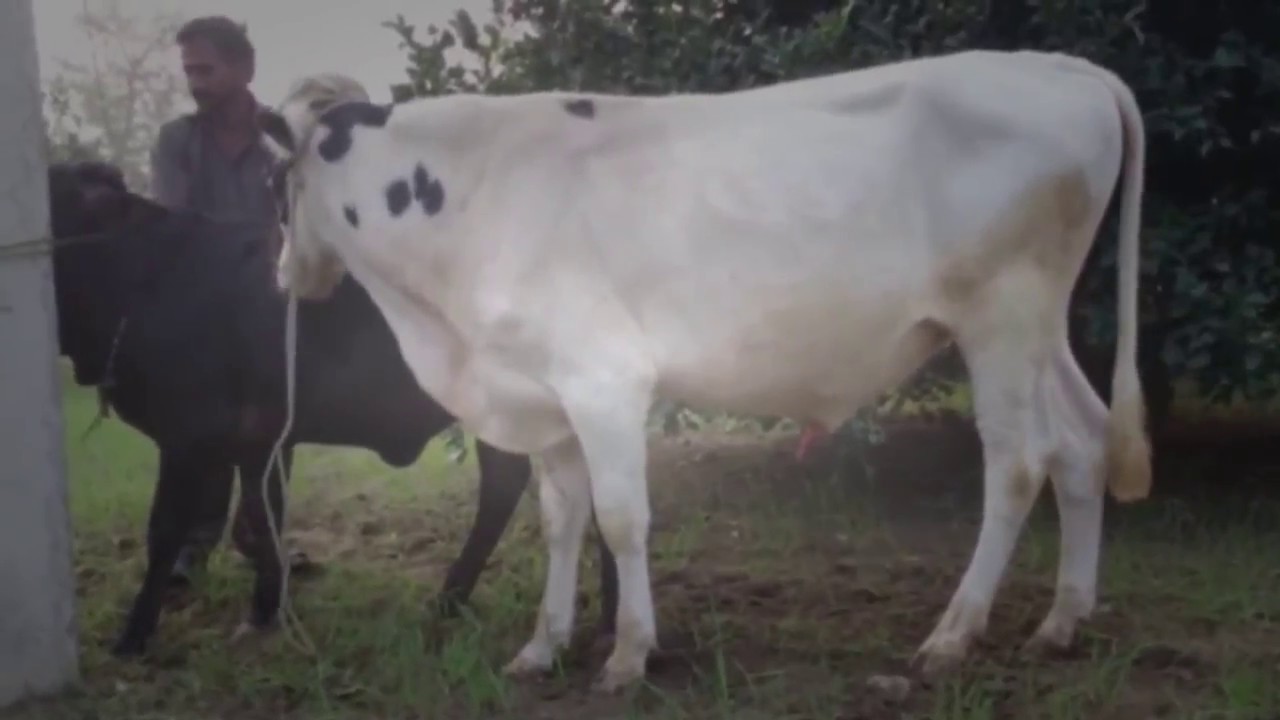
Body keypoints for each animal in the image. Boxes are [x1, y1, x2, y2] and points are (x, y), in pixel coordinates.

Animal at [44, 159, 620, 658]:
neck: (147, 276)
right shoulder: (259, 442)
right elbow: (260, 519)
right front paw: (267, 605)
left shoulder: (188, 439)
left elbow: (165, 532)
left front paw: (133, 635)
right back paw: (460, 599)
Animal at [257, 49, 1153, 692]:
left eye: (274, 177)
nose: (284, 274)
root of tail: (1061, 66)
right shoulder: (545, 395)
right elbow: (560, 522)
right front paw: (543, 648)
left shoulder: (605, 381)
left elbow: (621, 521)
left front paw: (627, 657)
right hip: (1040, 327)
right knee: (1082, 445)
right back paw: (1061, 623)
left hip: (1001, 316)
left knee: (1019, 464)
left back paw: (953, 636)